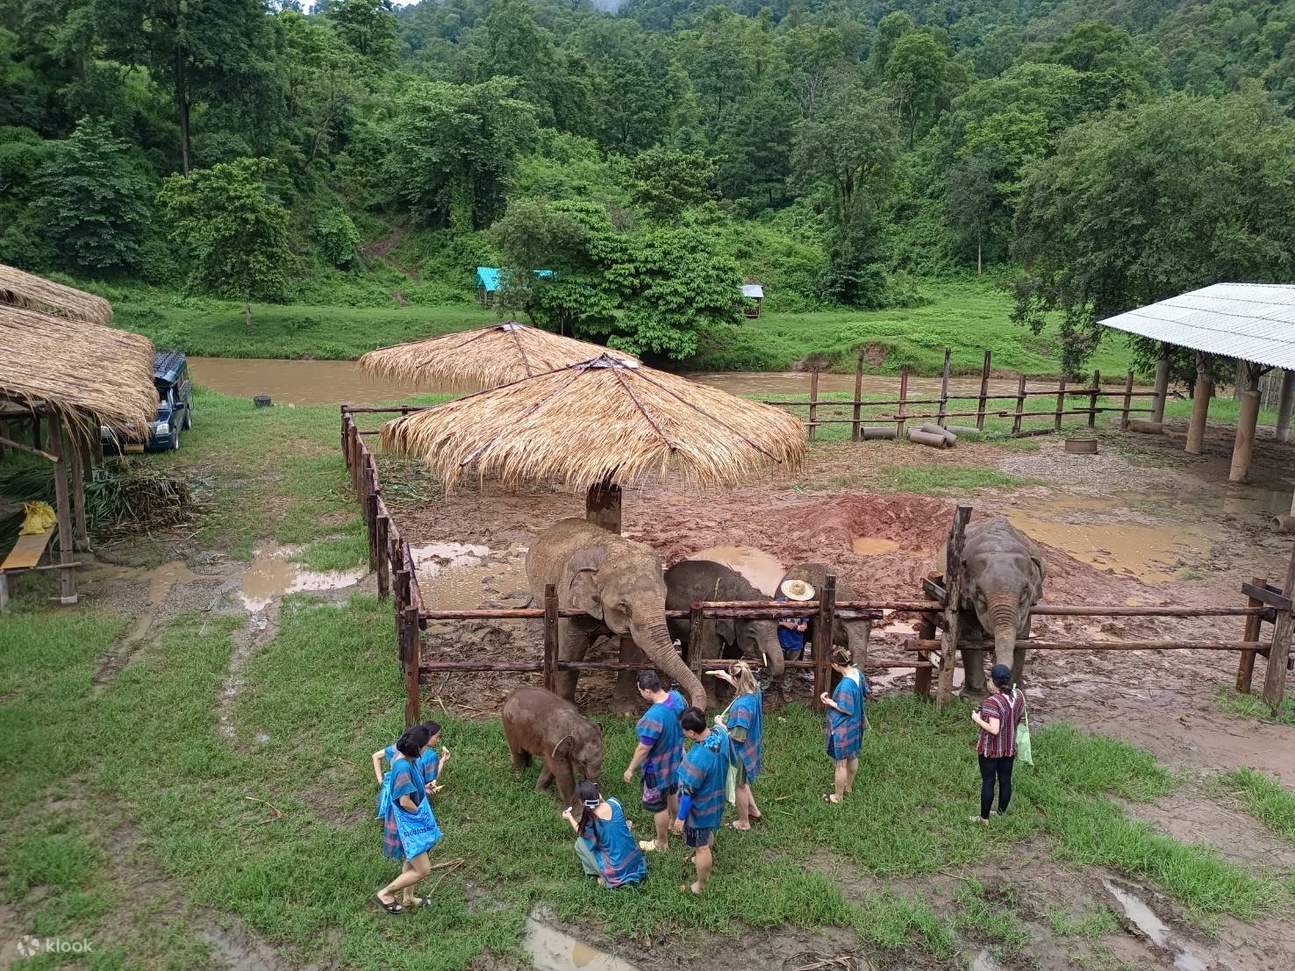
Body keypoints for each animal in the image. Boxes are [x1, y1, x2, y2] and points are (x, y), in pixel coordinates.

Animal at [526, 518, 707, 710]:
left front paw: (624, 710)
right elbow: (571, 649)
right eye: (624, 606)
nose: (691, 707)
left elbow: (631, 648)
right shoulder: (568, 600)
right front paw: (566, 706)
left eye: (664, 598)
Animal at [663, 560, 785, 692]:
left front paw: (723, 695)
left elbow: (733, 654)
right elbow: (709, 654)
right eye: (752, 631)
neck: (741, 593)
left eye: (777, 627)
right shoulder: (710, 619)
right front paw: (711, 698)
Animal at [941, 515, 1045, 694]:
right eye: (979, 592)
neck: (999, 546)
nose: (999, 682)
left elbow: (1021, 636)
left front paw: (1017, 691)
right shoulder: (963, 596)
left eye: (1025, 590)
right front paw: (974, 695)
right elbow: (970, 636)